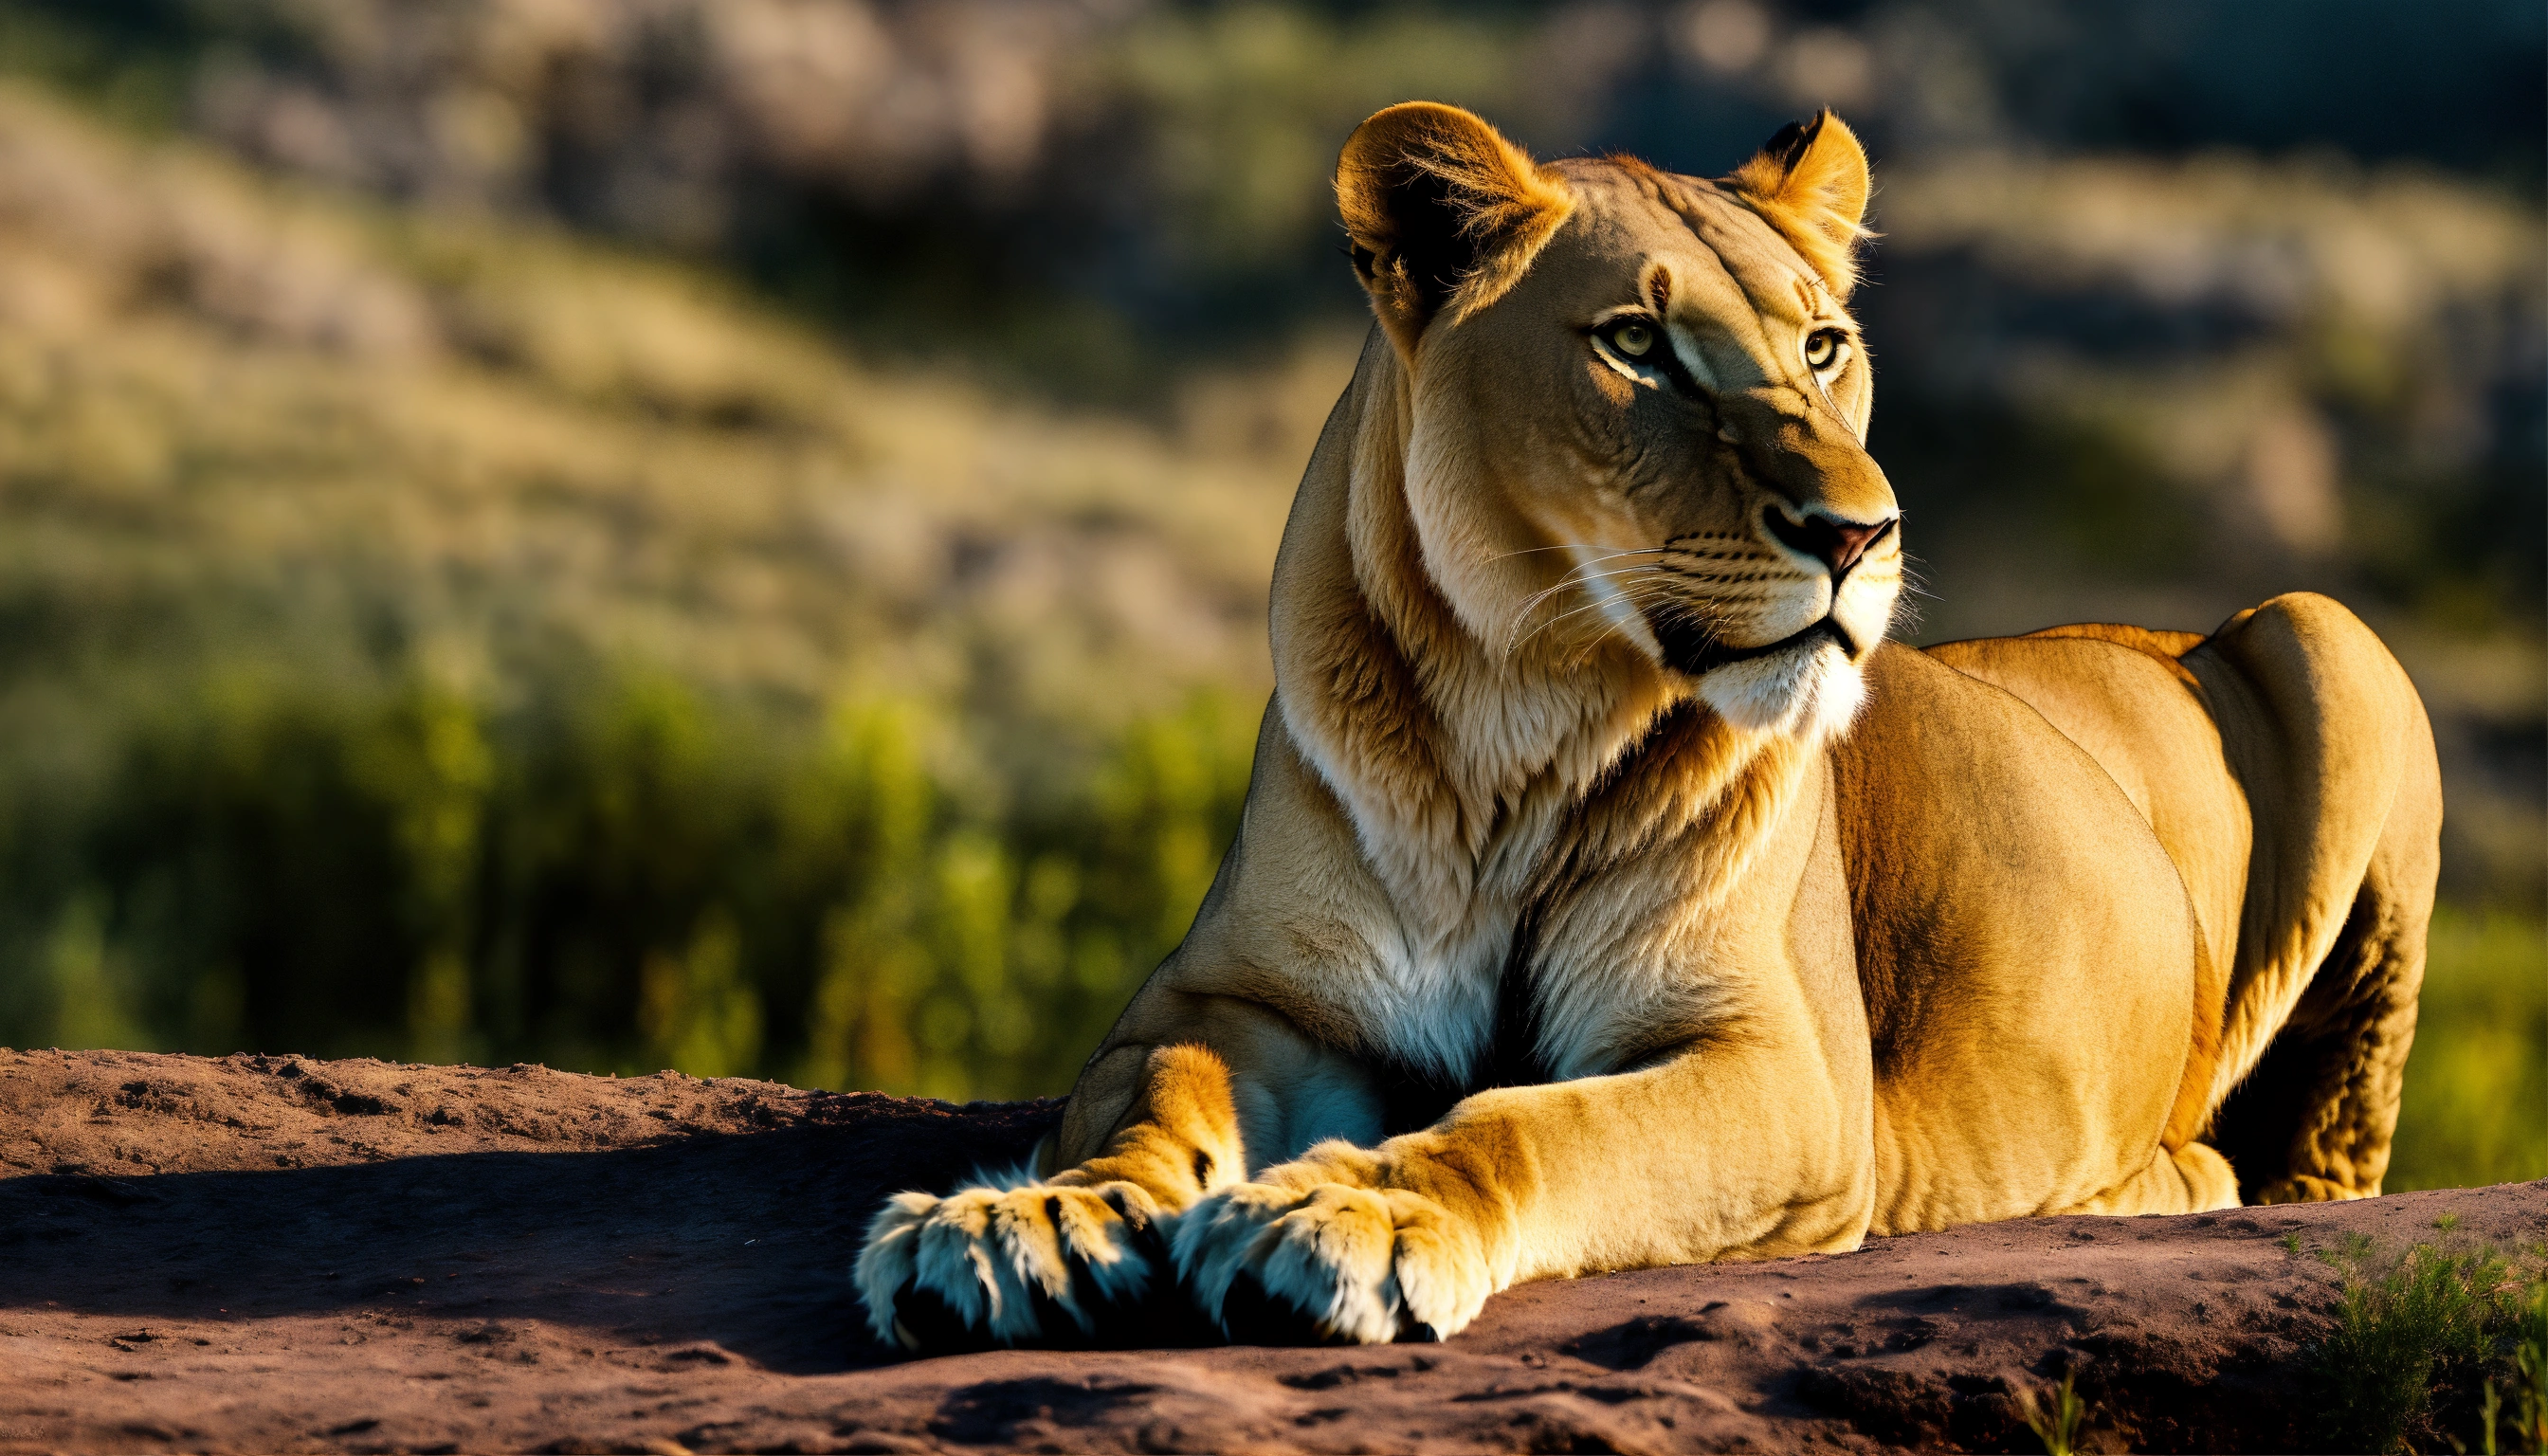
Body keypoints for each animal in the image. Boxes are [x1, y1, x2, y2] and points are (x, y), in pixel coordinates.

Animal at [854, 102, 2441, 1351]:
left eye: (1824, 345)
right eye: (1638, 345)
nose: (1861, 535)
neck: (1525, 711)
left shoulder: (1780, 1070)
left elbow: (1541, 1120)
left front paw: (1353, 1214)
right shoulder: (1237, 1000)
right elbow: (1142, 1100)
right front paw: (1026, 1227)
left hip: (2330, 639)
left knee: (2299, 1173)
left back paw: (2159, 1185)